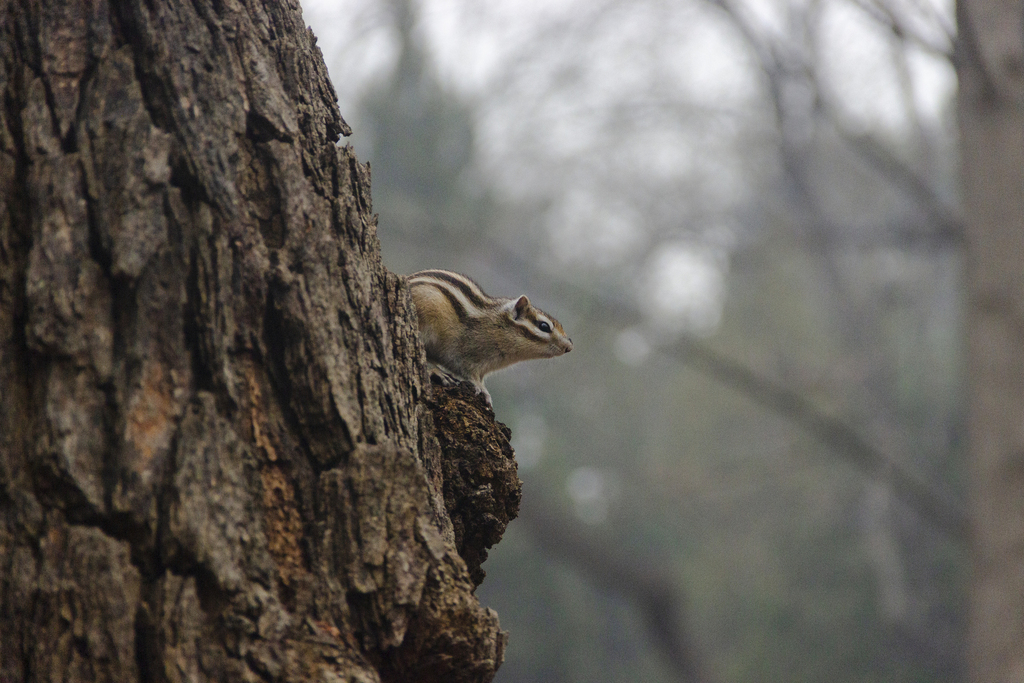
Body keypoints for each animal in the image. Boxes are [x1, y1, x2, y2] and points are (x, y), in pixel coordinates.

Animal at [407, 269, 573, 406]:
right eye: (544, 326)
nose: (569, 347)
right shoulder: (465, 356)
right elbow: (469, 373)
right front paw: (481, 389)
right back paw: (437, 372)